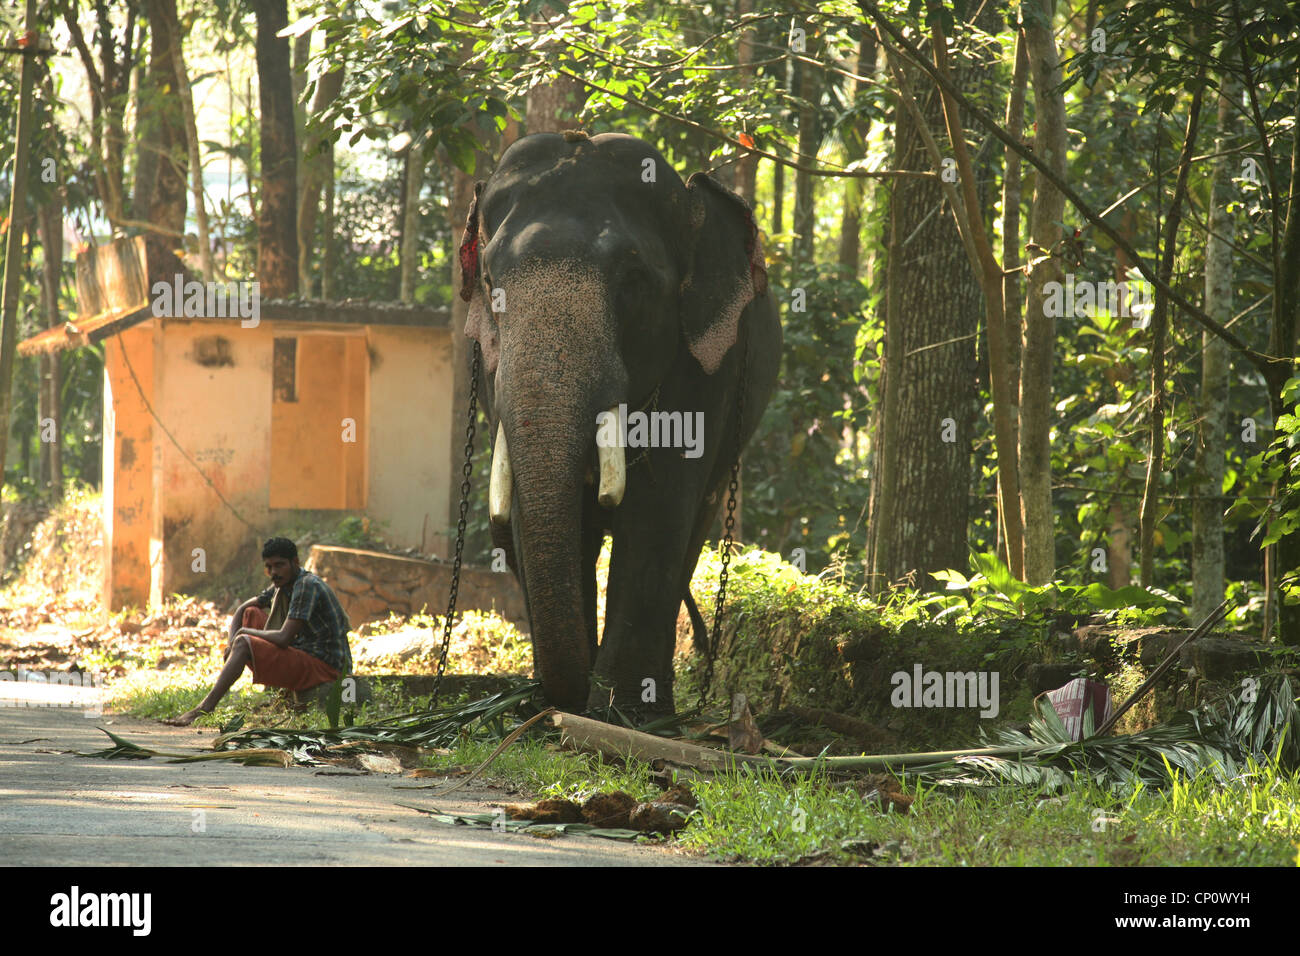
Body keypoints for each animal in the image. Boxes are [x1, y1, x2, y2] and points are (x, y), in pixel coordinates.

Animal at [458, 131, 782, 716]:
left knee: (691, 530)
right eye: (490, 281)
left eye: (633, 280)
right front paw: (564, 702)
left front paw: (623, 710)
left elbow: (658, 510)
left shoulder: (705, 366)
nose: (564, 694)